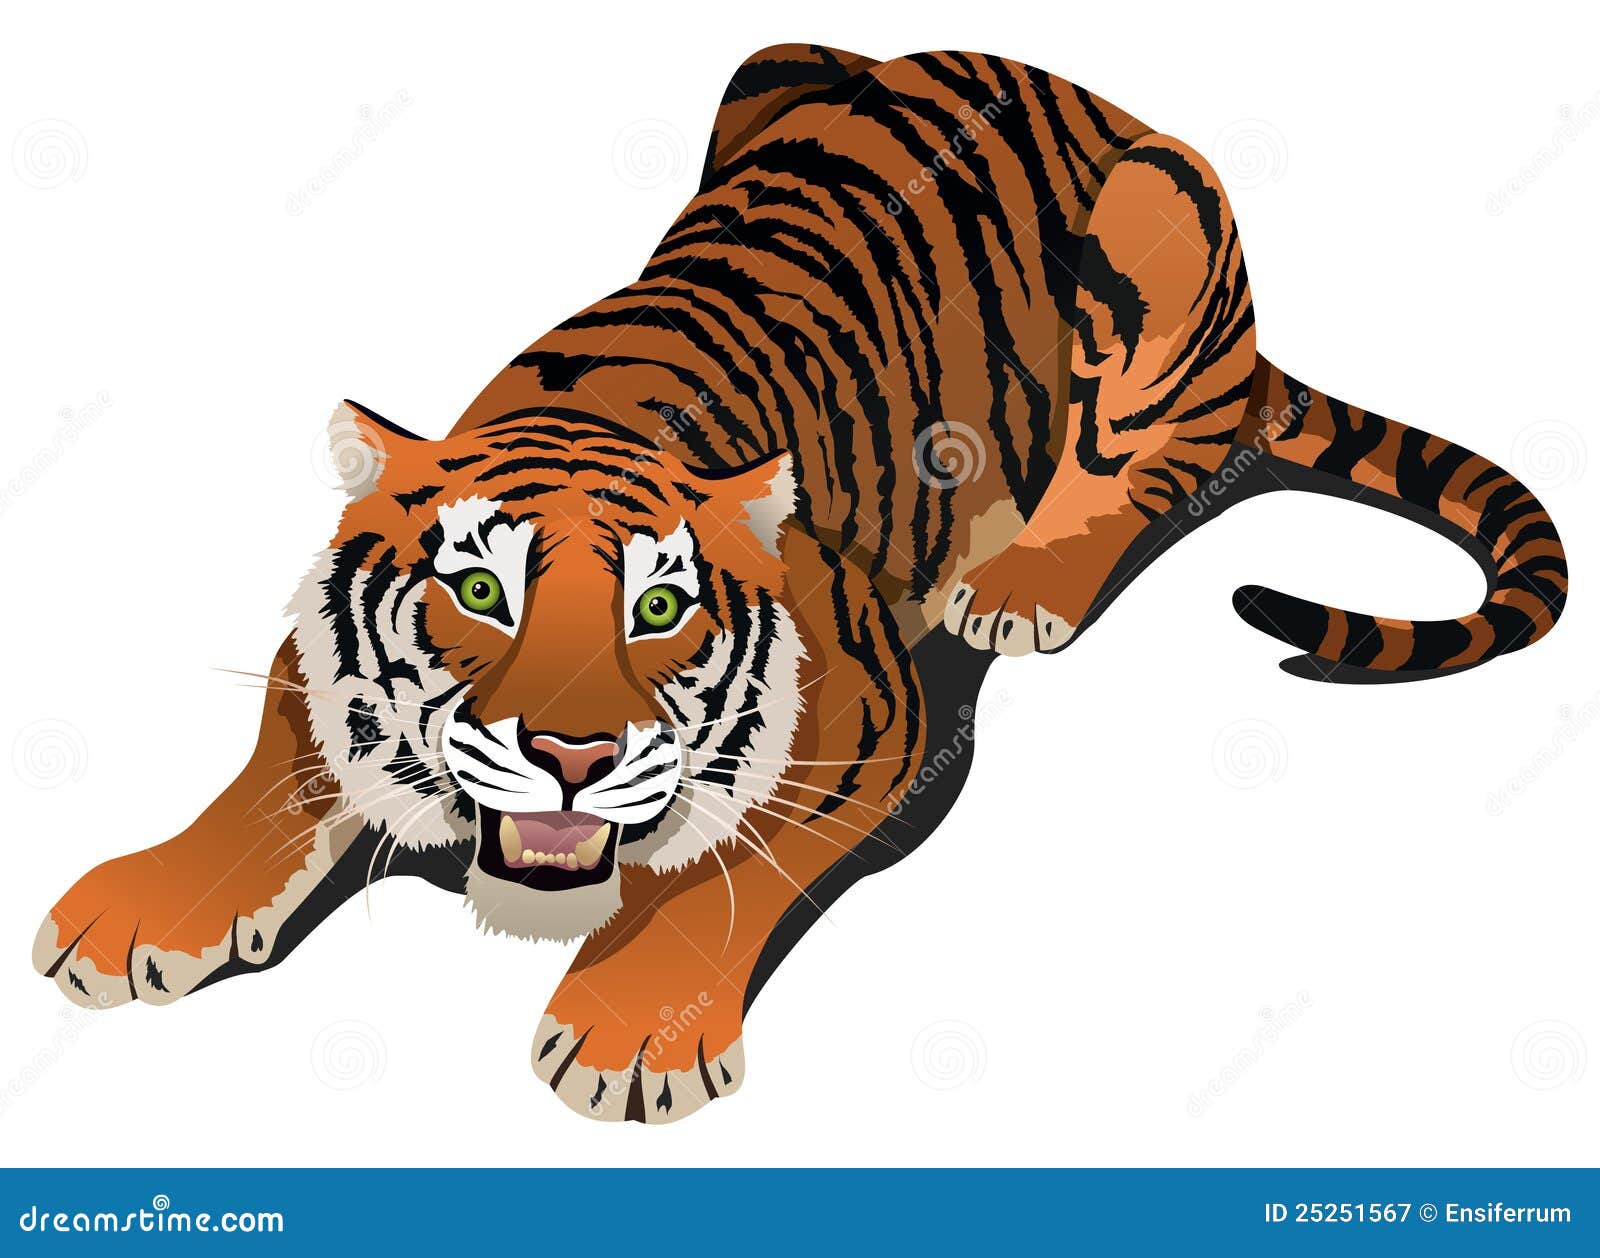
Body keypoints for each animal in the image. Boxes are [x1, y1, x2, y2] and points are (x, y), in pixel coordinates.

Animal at [34, 45, 1567, 1123]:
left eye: (661, 609)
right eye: (481, 594)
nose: (573, 755)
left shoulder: (874, 721)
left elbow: (727, 862)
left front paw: (630, 1031)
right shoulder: (323, 663)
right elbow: (274, 768)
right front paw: (139, 906)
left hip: (1164, 211)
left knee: (1152, 453)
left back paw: (1027, 576)